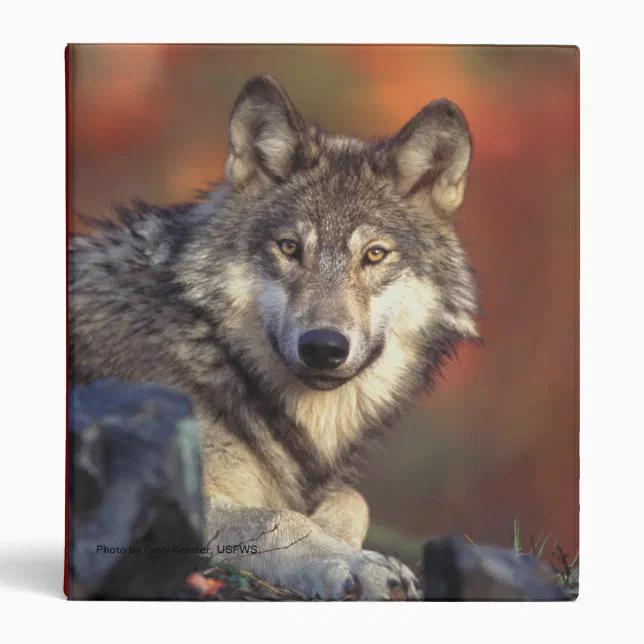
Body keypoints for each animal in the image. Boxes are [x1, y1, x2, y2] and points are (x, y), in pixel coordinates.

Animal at [69, 74, 479, 600]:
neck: (215, 350)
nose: (323, 347)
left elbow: (353, 498)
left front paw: (341, 539)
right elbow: (278, 519)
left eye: (374, 254)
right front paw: (359, 565)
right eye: (289, 248)